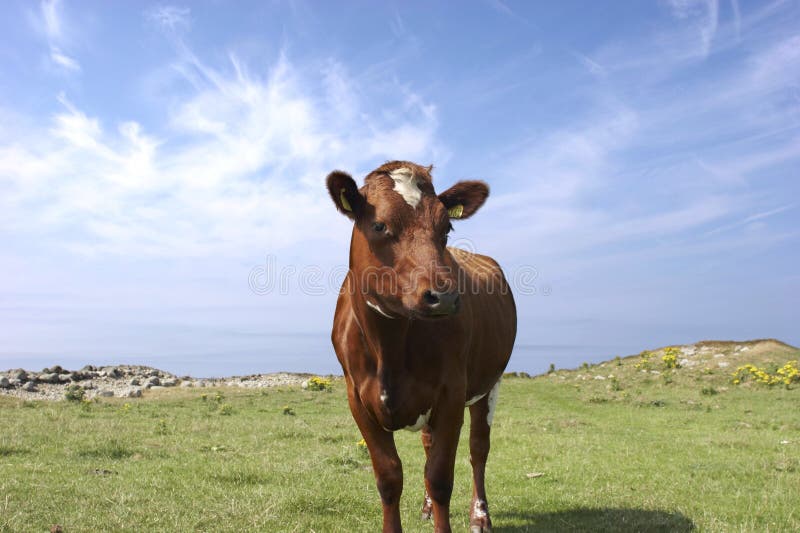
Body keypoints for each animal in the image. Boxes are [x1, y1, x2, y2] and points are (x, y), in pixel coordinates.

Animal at [326, 161, 516, 533]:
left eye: (447, 227)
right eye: (379, 224)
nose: (443, 296)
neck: (388, 347)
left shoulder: (451, 393)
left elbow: (440, 477)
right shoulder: (357, 398)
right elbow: (389, 478)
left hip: (491, 383)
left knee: (478, 448)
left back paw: (480, 515)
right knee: (429, 445)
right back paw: (427, 508)